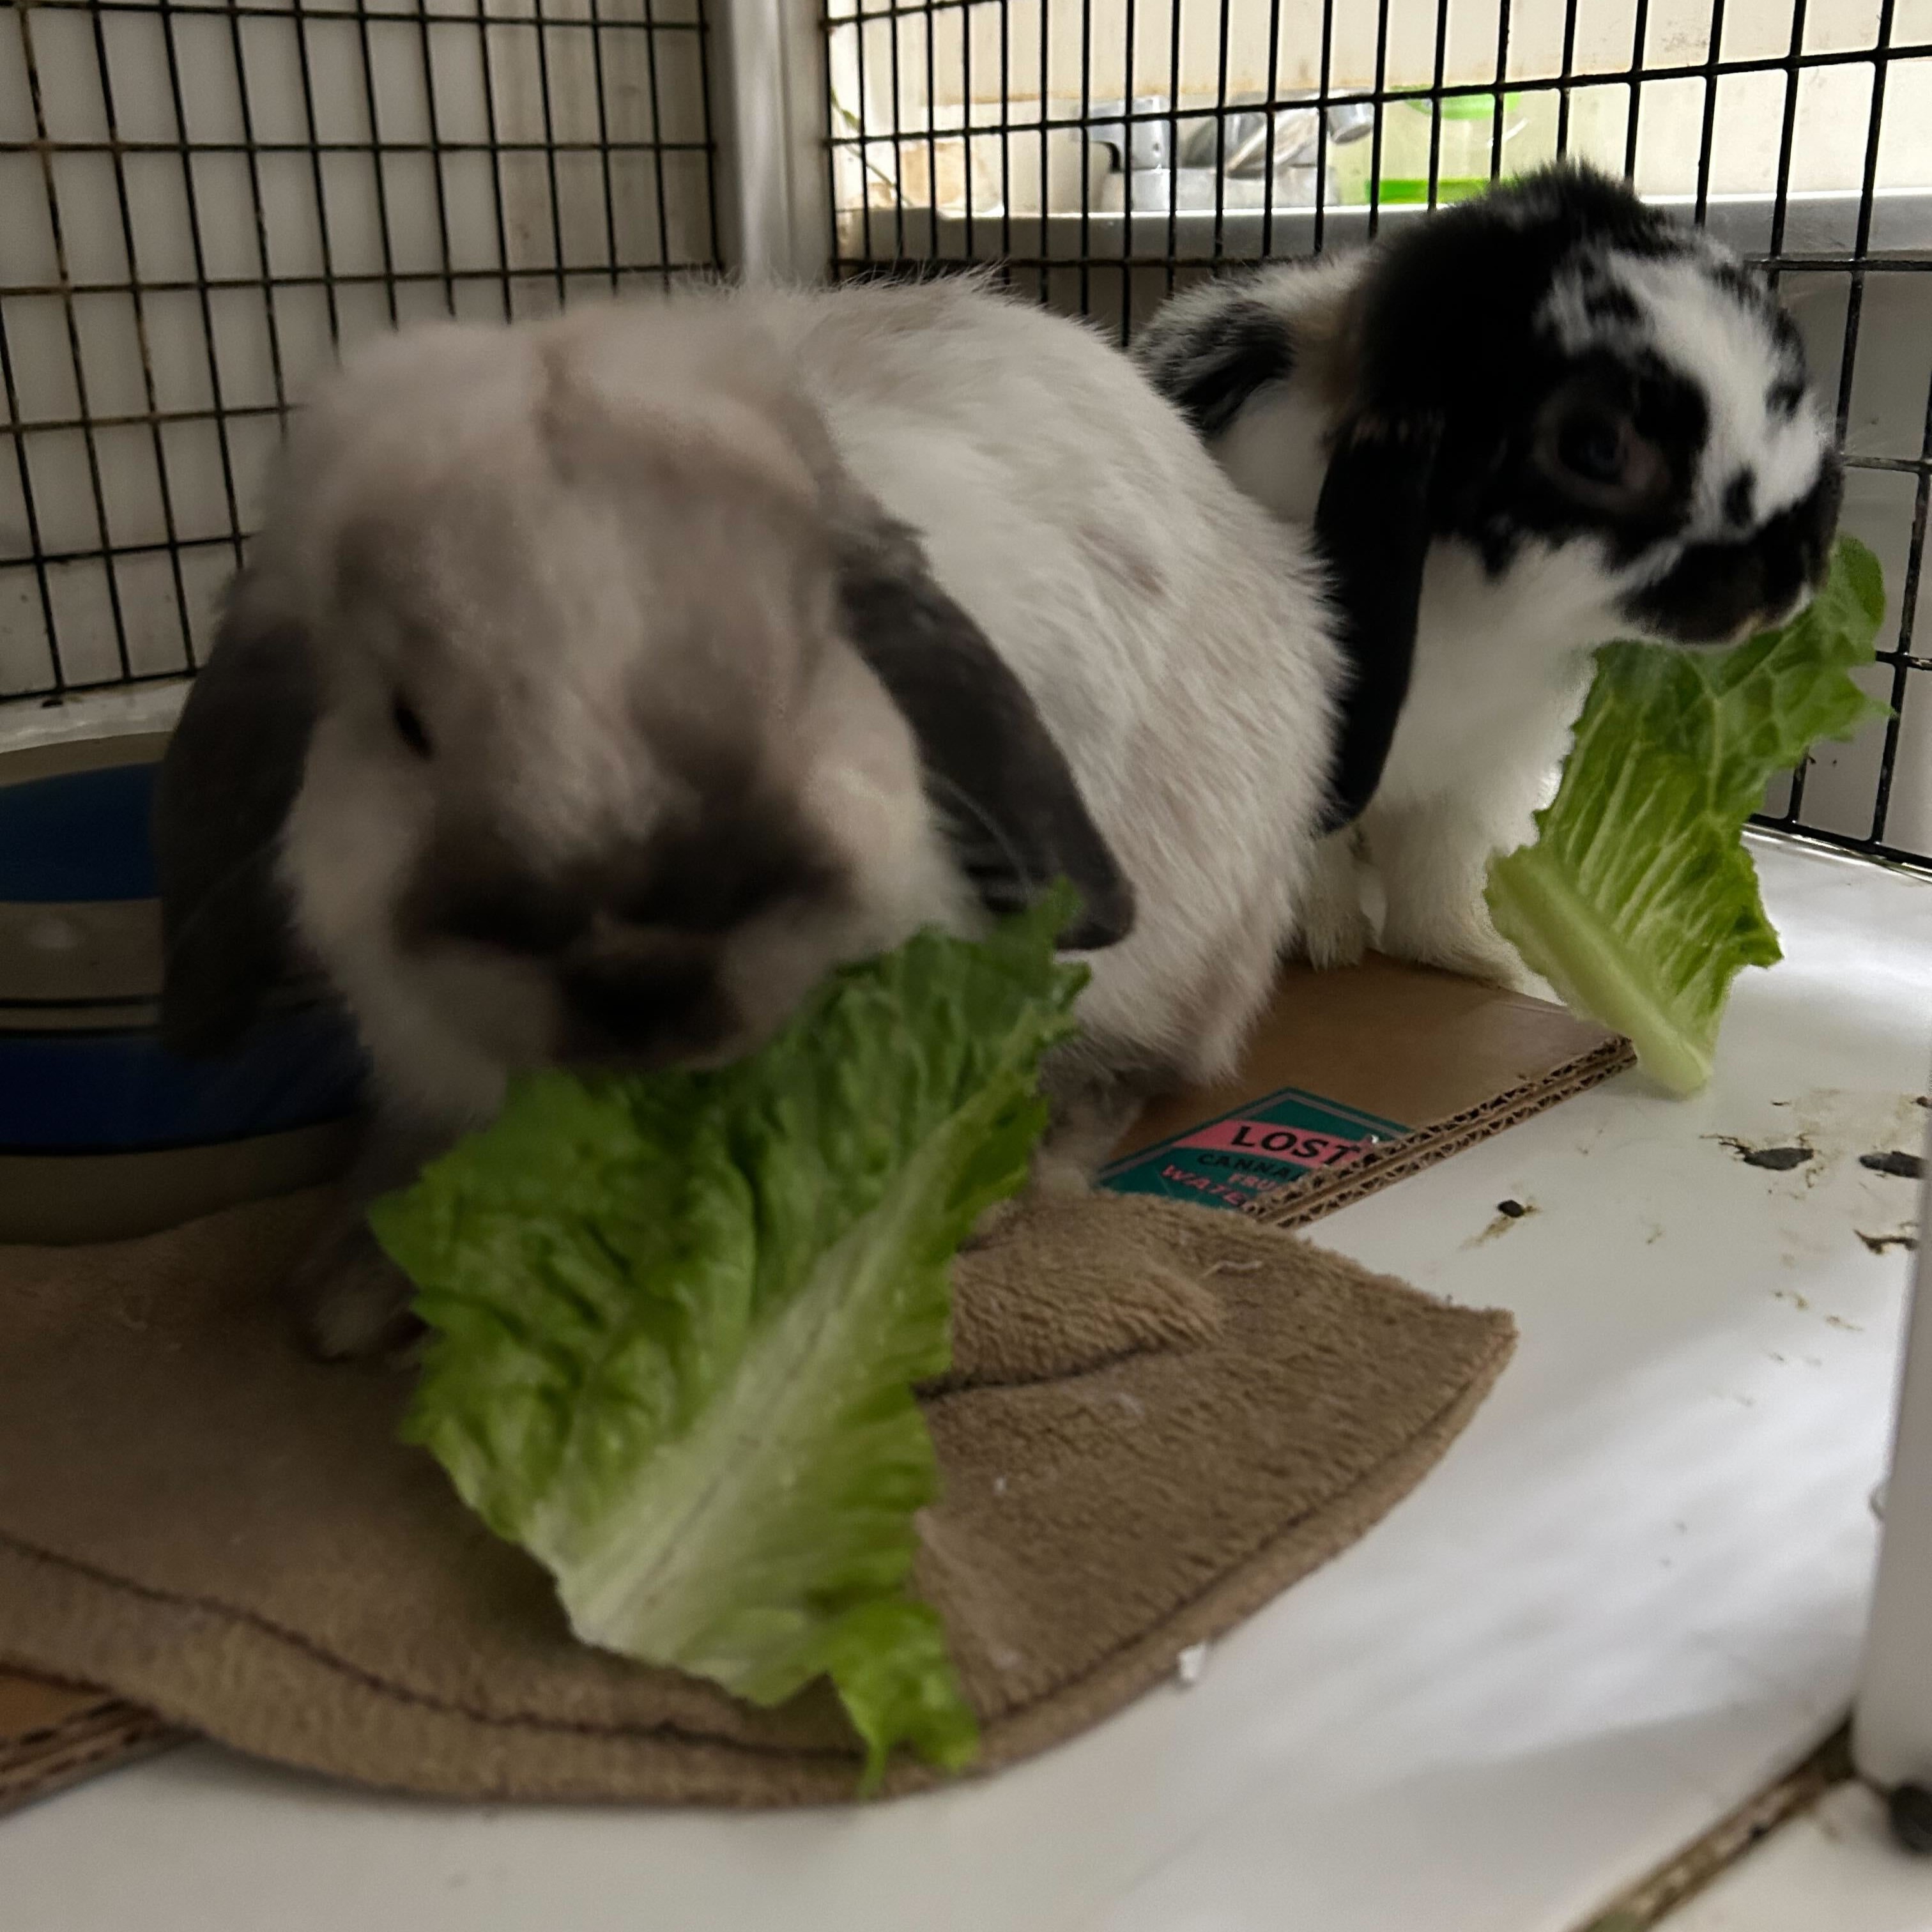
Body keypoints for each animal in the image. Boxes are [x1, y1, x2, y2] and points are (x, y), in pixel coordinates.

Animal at [155, 278, 1341, 1359]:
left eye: (800, 660)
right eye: (405, 719)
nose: (638, 971)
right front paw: (358, 1285)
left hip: (1173, 949)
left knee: (1130, 1066)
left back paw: (1025, 1173)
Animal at [1133, 161, 1844, 986]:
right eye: (1596, 448)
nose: (1789, 578)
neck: (1482, 615)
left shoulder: (1476, 776)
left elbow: (1440, 870)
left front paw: (1475, 958)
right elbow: (1315, 862)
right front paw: (1326, 946)